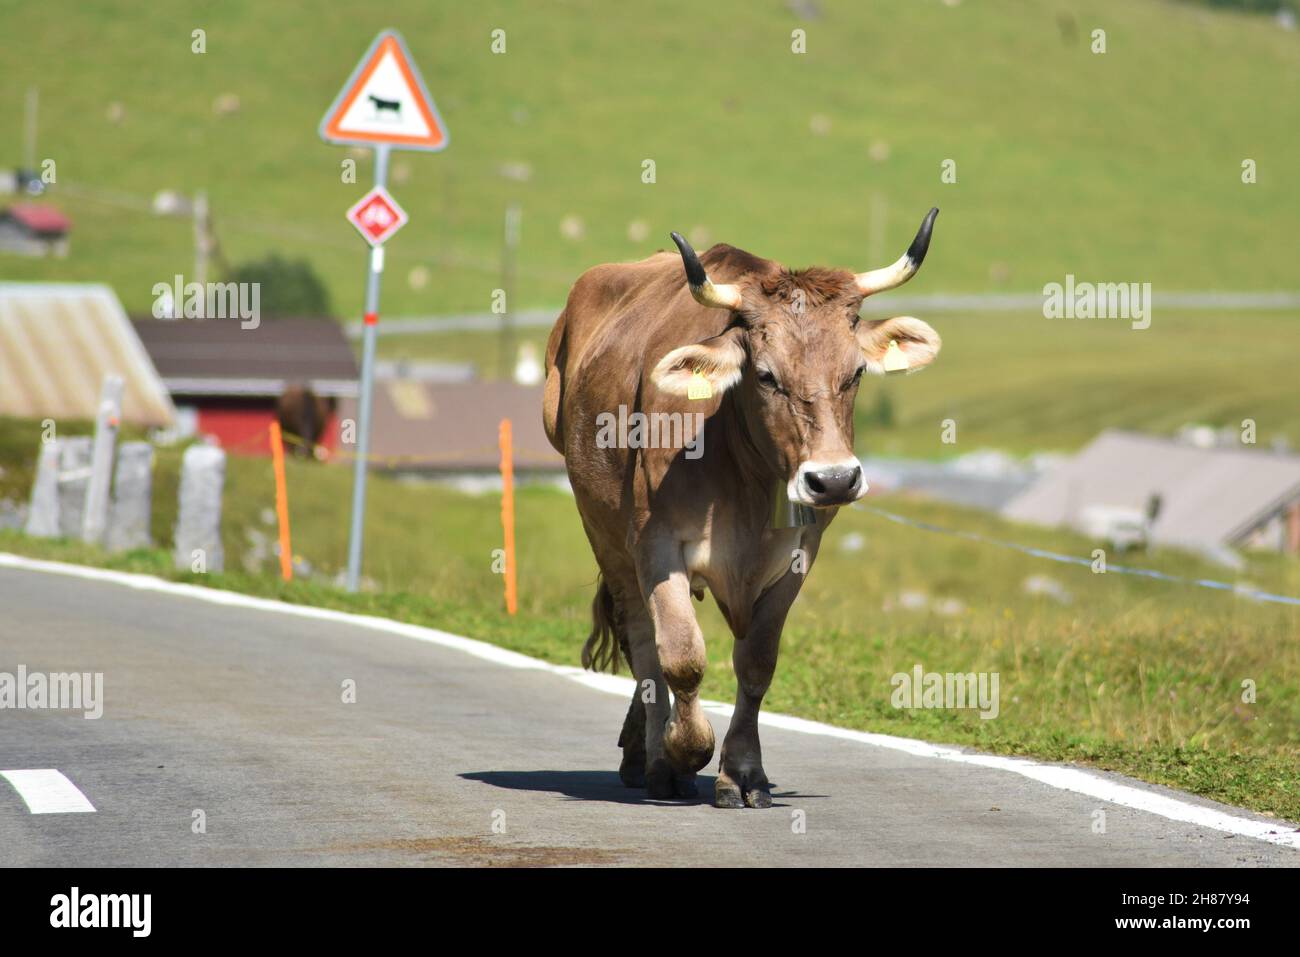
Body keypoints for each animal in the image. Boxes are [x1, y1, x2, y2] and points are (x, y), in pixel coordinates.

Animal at [543, 208, 941, 808]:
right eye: (766, 375)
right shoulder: (657, 546)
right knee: (642, 642)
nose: (833, 480)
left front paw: (743, 773)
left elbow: (756, 664)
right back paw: (655, 758)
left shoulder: (798, 556)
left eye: (855, 373)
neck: (746, 476)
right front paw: (685, 750)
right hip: (605, 535)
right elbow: (681, 657)